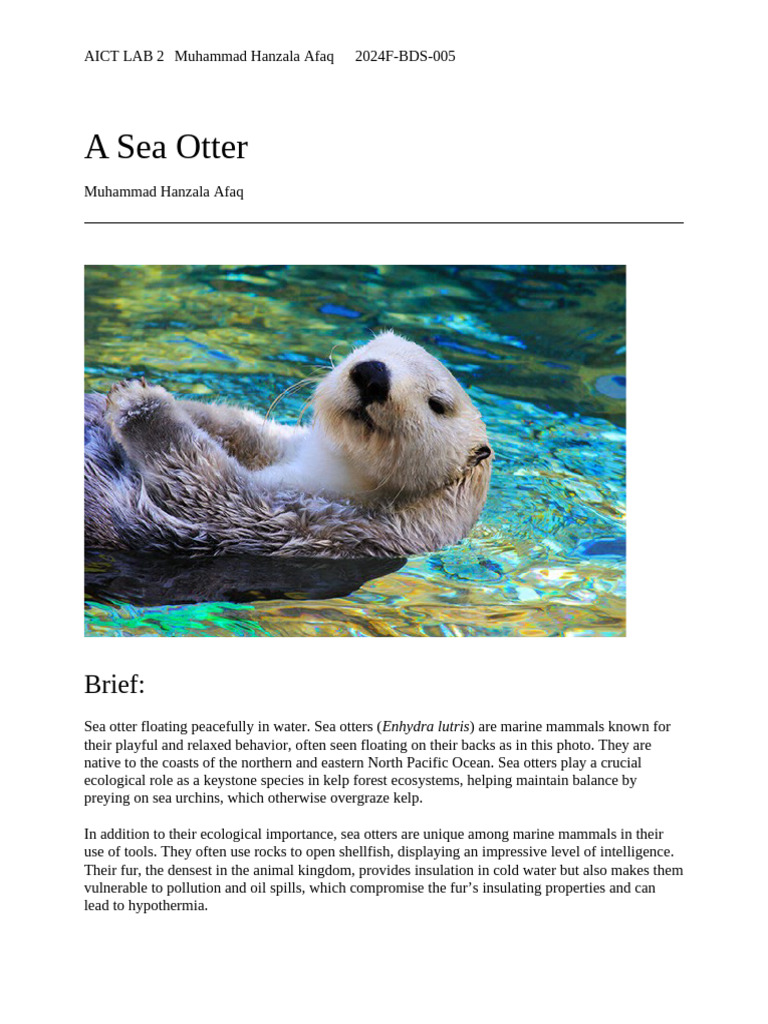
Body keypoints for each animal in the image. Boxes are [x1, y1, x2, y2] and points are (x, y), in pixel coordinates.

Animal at [84, 332, 492, 558]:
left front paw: (140, 401)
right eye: (368, 348)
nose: (373, 373)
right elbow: (237, 426)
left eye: (437, 404)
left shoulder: (316, 523)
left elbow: (202, 483)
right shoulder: (279, 444)